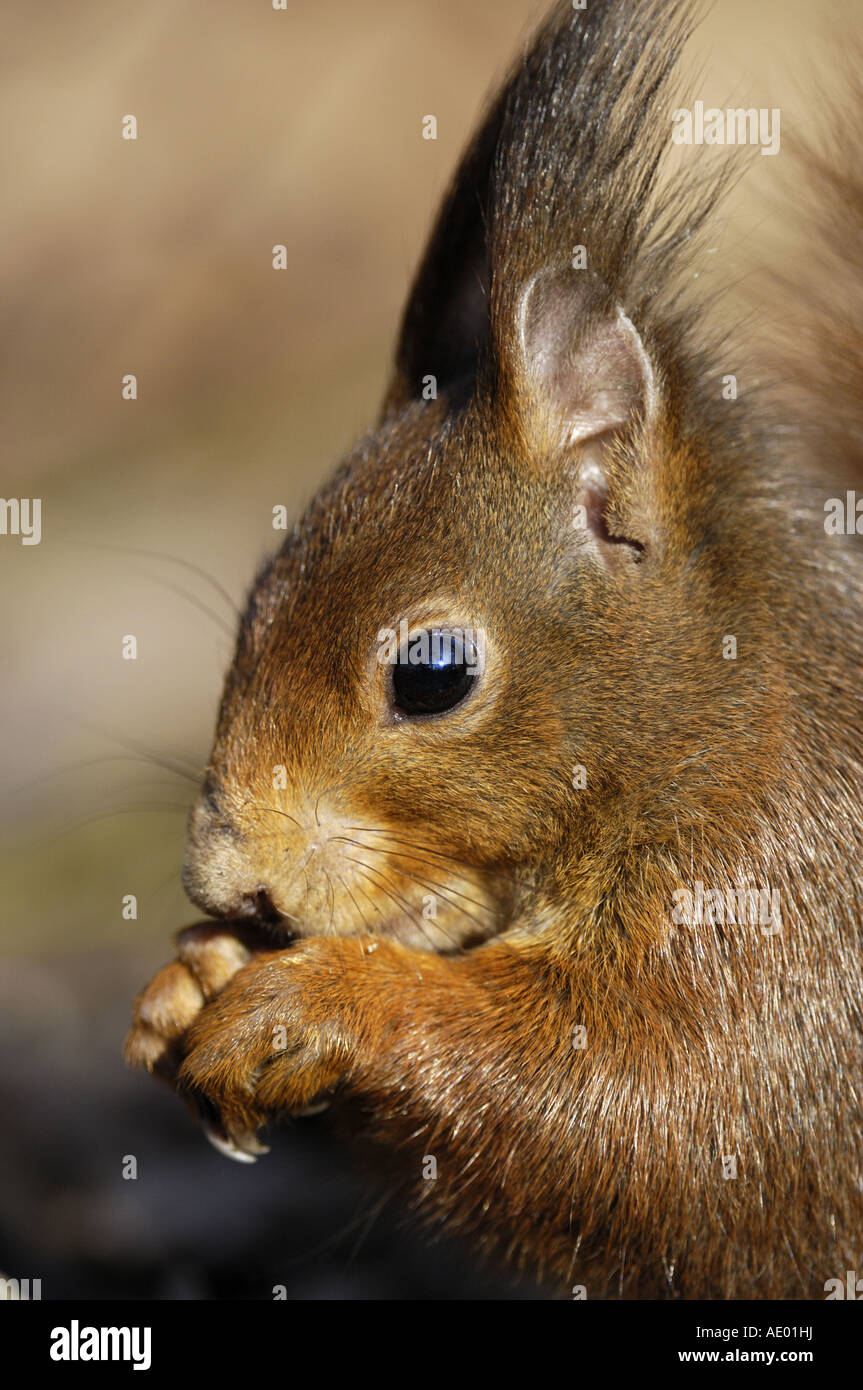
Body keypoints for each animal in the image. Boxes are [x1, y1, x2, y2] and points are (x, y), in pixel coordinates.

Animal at [125, 0, 863, 1298]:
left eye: (430, 677)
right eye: (256, 593)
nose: (225, 881)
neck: (717, 728)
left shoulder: (783, 921)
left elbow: (655, 1112)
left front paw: (324, 997)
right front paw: (193, 979)